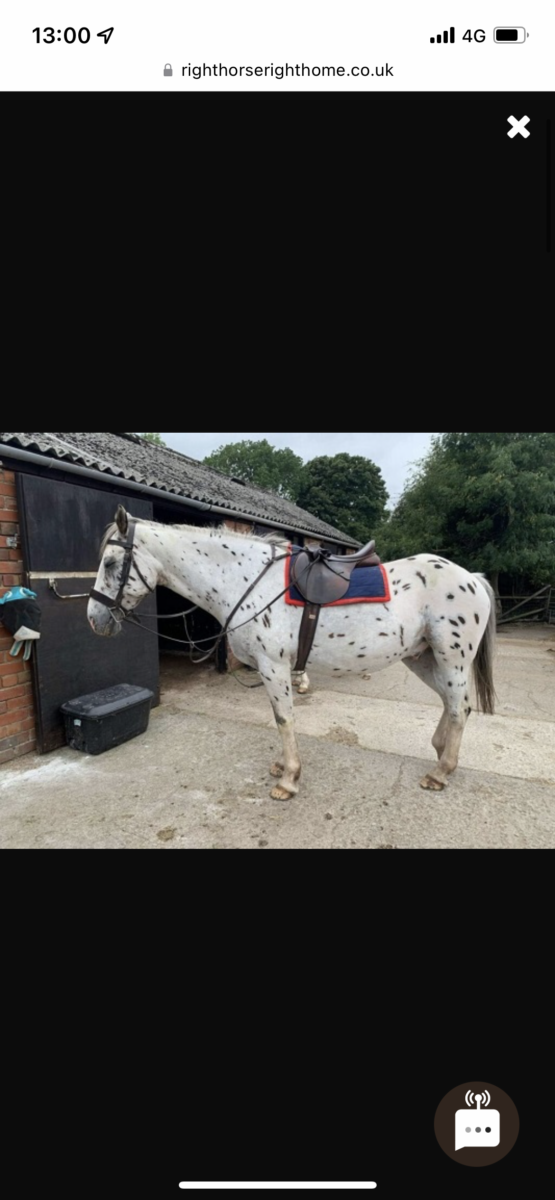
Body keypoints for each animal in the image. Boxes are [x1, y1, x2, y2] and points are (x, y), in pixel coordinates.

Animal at [88, 507, 496, 801]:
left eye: (110, 564)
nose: (95, 619)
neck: (247, 580)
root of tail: (473, 578)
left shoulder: (274, 667)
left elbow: (284, 719)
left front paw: (289, 780)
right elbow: (278, 718)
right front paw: (282, 767)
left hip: (451, 658)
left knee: (459, 707)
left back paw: (440, 773)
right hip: (422, 657)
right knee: (451, 702)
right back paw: (441, 753)